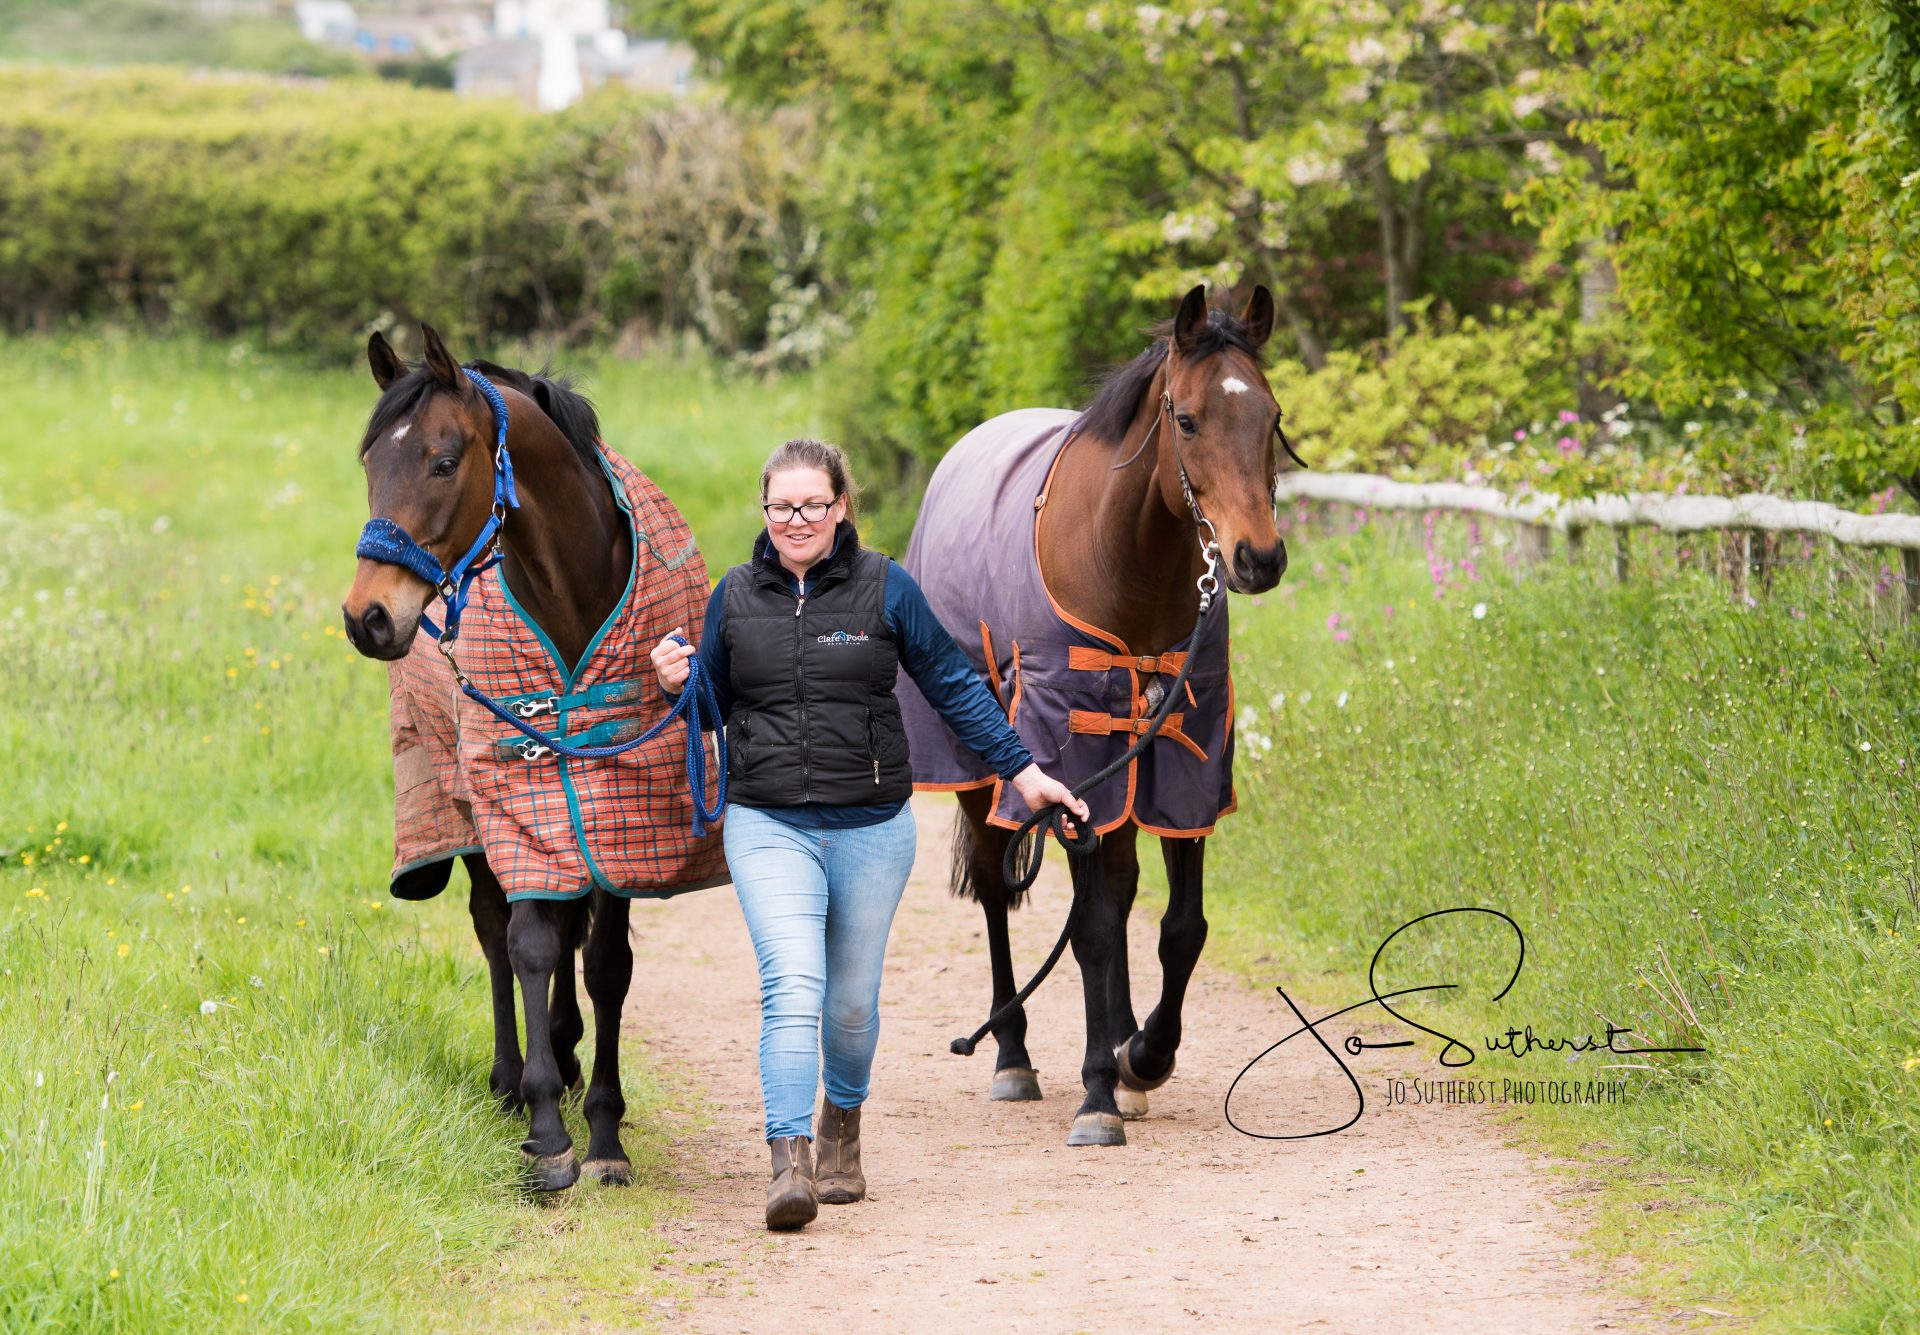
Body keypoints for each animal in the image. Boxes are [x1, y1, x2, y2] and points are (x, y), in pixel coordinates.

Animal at [341, 325, 722, 1190]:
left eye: (443, 461)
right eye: (370, 463)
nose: (367, 616)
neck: (574, 592)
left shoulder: (617, 805)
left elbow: (606, 959)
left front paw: (605, 1132)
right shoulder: (514, 791)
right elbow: (528, 944)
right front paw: (548, 1132)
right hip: (465, 804)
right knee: (494, 930)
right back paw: (513, 1078)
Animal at [897, 283, 1291, 1146]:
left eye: (1272, 415)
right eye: (1188, 420)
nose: (1258, 558)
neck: (1124, 561)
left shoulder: (1179, 758)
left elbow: (1177, 926)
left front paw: (1142, 1056)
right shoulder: (1071, 757)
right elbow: (1097, 930)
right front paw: (1099, 1095)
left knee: (1113, 887)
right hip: (979, 762)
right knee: (997, 886)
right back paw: (1013, 1056)